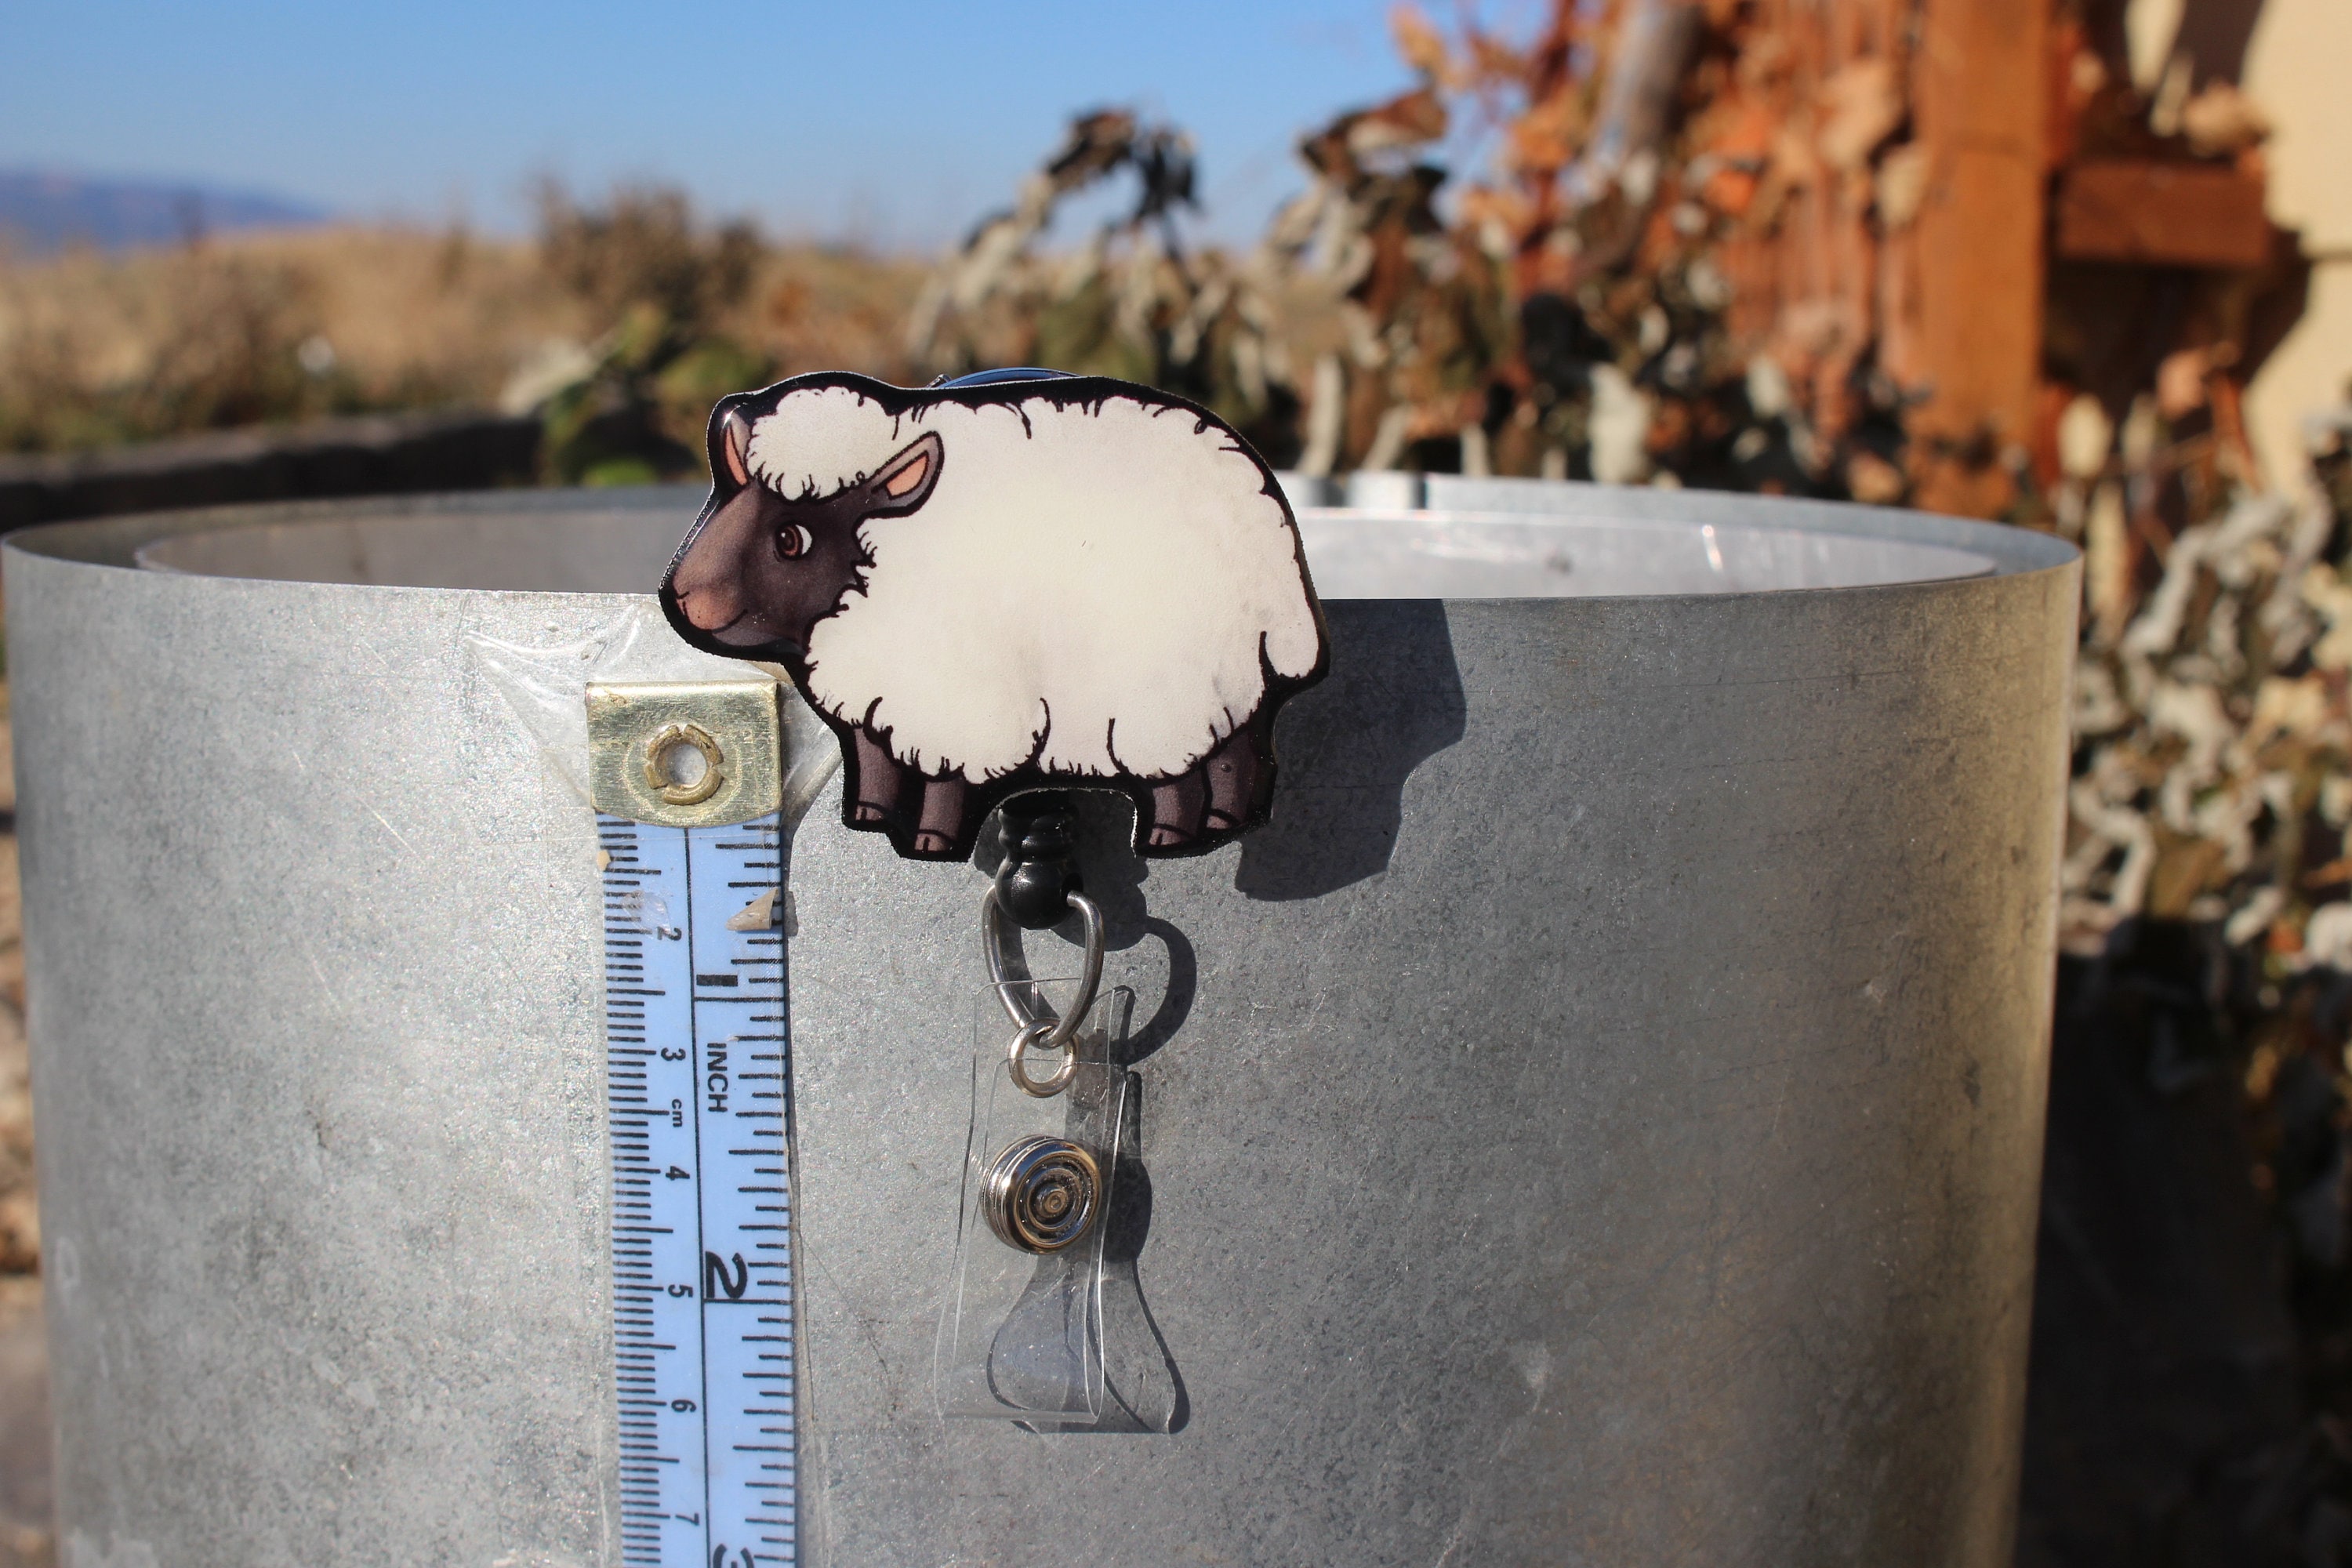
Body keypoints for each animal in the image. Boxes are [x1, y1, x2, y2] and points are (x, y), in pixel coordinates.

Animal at [661, 370, 1329, 862]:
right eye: (734, 503)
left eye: (791, 538)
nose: (684, 597)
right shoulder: (878, 687)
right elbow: (876, 765)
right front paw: (869, 816)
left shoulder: (959, 704)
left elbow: (946, 784)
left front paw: (932, 840)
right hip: (1229, 677)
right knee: (1239, 756)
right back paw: (1226, 819)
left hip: (1166, 686)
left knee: (1178, 777)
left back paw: (1171, 837)